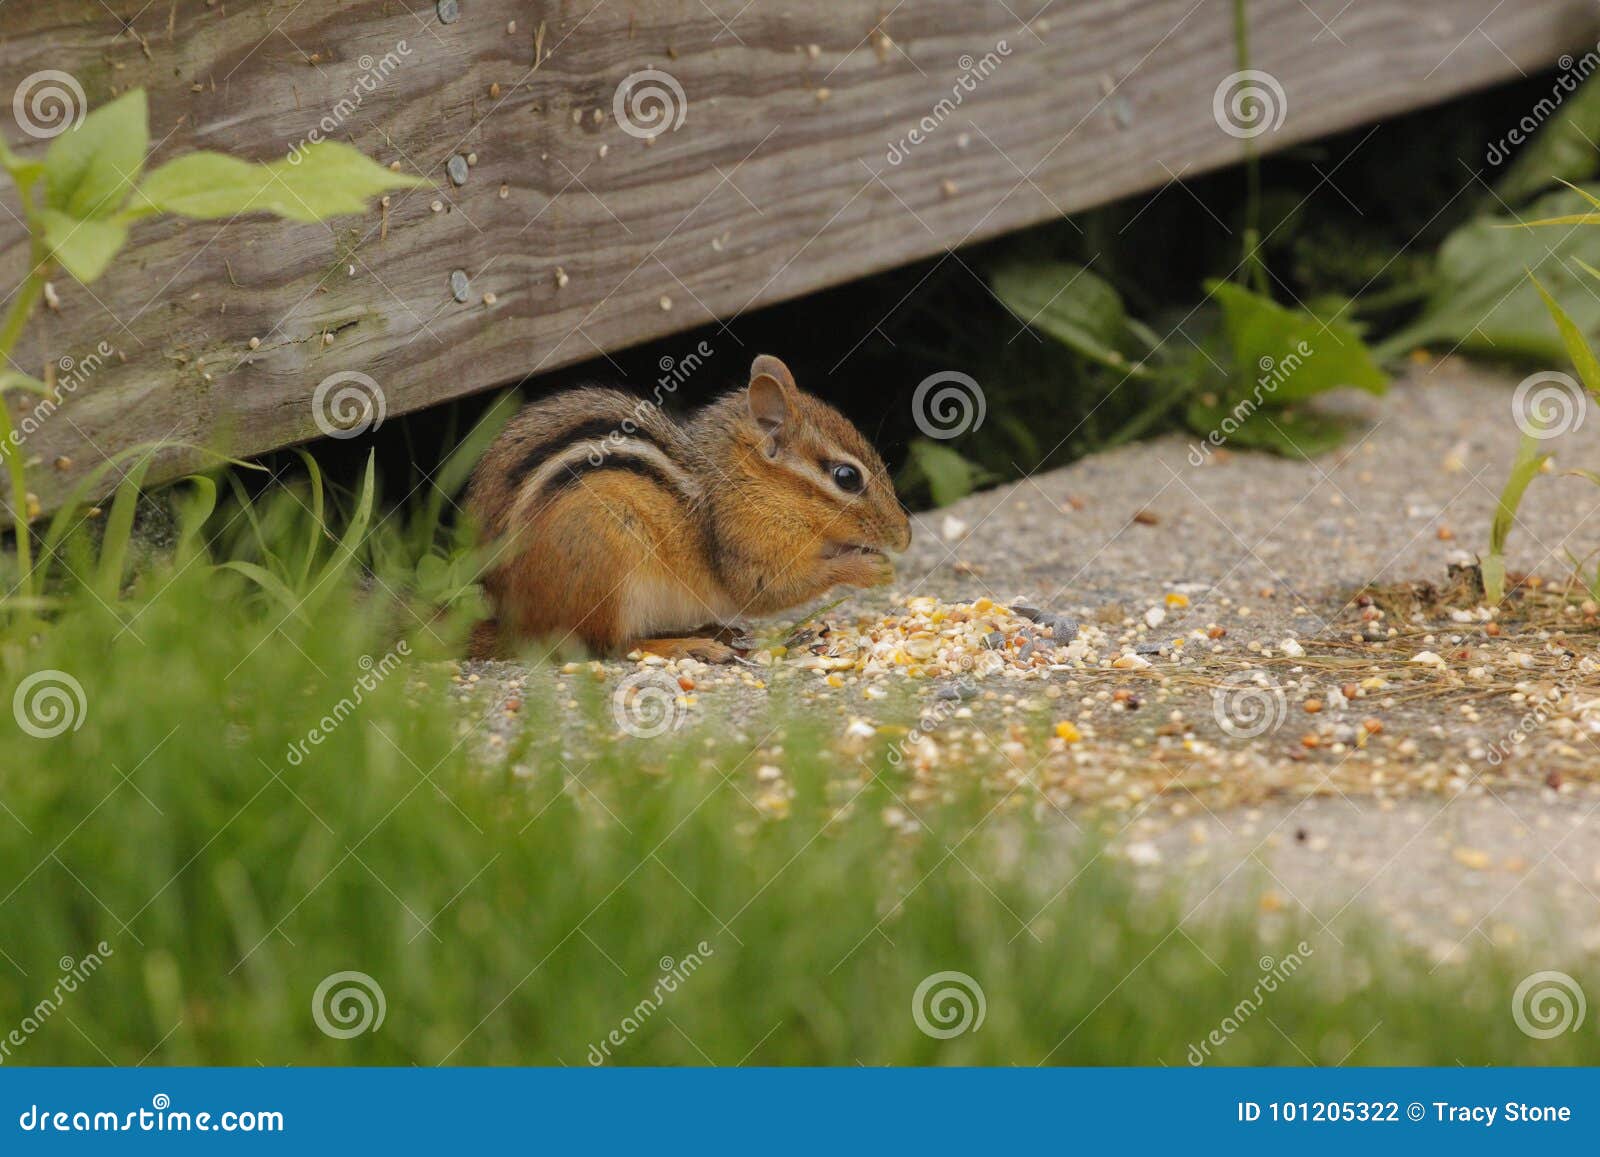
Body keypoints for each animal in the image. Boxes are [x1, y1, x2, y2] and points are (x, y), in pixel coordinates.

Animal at [465, 354, 913, 662]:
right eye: (846, 477)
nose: (906, 537)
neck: (748, 484)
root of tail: (518, 626)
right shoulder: (746, 547)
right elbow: (768, 590)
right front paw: (868, 567)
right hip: (609, 563)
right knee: (614, 645)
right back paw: (690, 645)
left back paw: (718, 632)